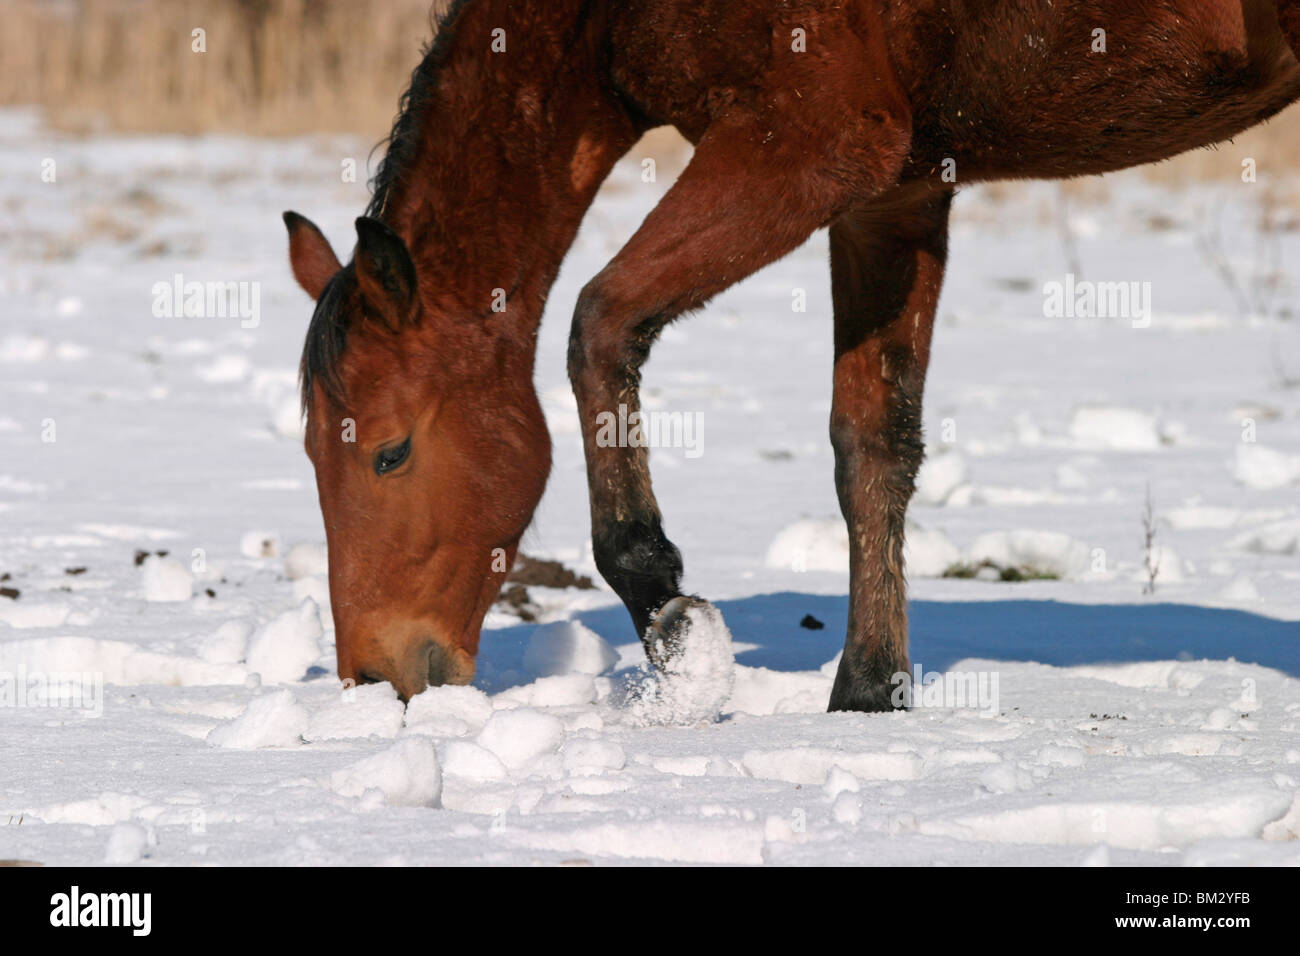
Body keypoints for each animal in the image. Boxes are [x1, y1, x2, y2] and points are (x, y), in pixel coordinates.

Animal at [283, 0, 1300, 710]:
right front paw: (868, 693)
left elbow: (600, 325)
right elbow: (873, 449)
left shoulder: (814, 146)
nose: (376, 674)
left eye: (390, 453)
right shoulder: (891, 194)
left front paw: (675, 630)